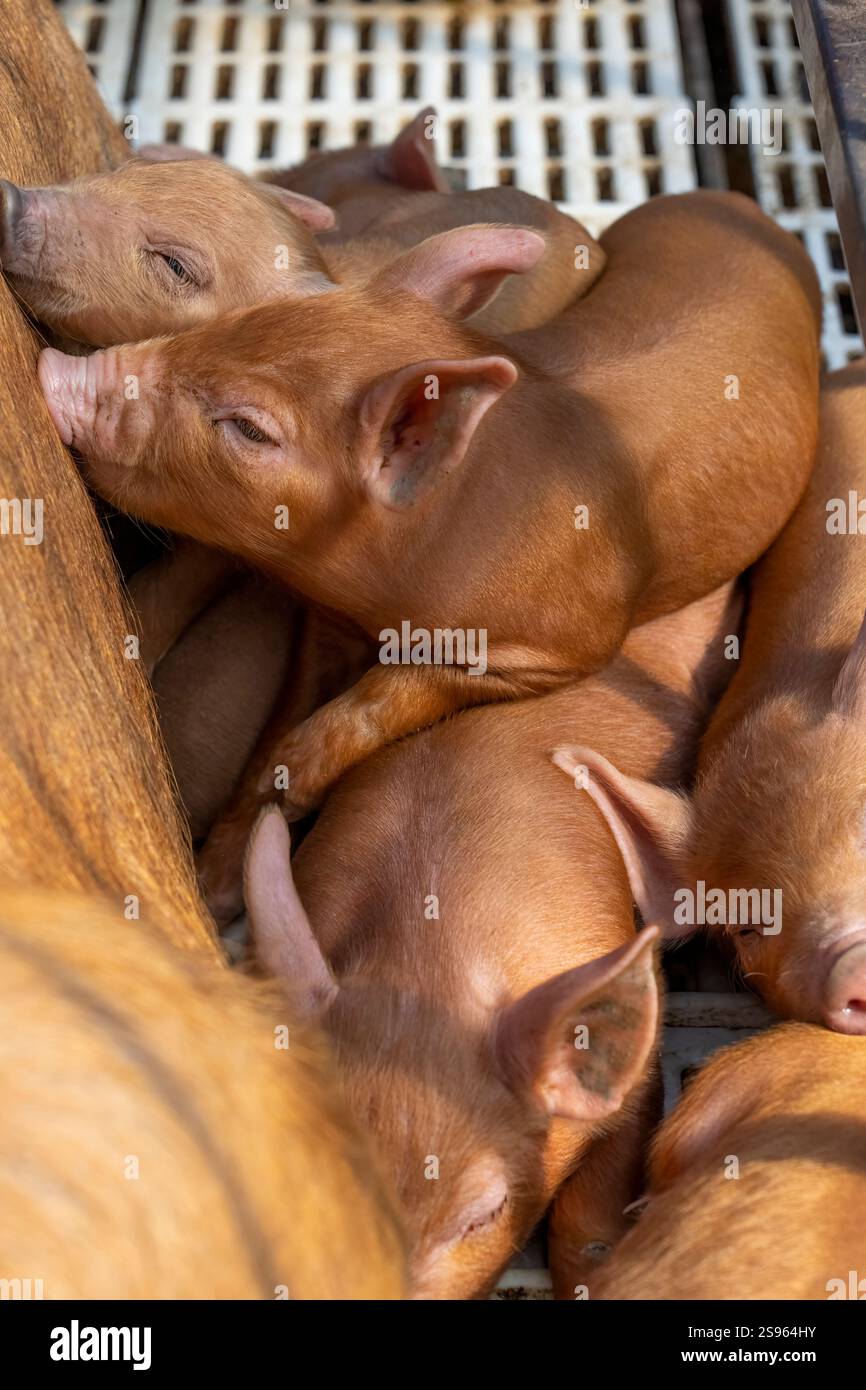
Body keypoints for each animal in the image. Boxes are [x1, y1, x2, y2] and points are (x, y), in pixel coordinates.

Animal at [38, 193, 821, 912]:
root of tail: (743, 206)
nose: (53, 369)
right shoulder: (324, 620)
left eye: (251, 429)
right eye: (235, 325)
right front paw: (217, 881)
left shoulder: (550, 650)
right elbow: (277, 733)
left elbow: (366, 712)